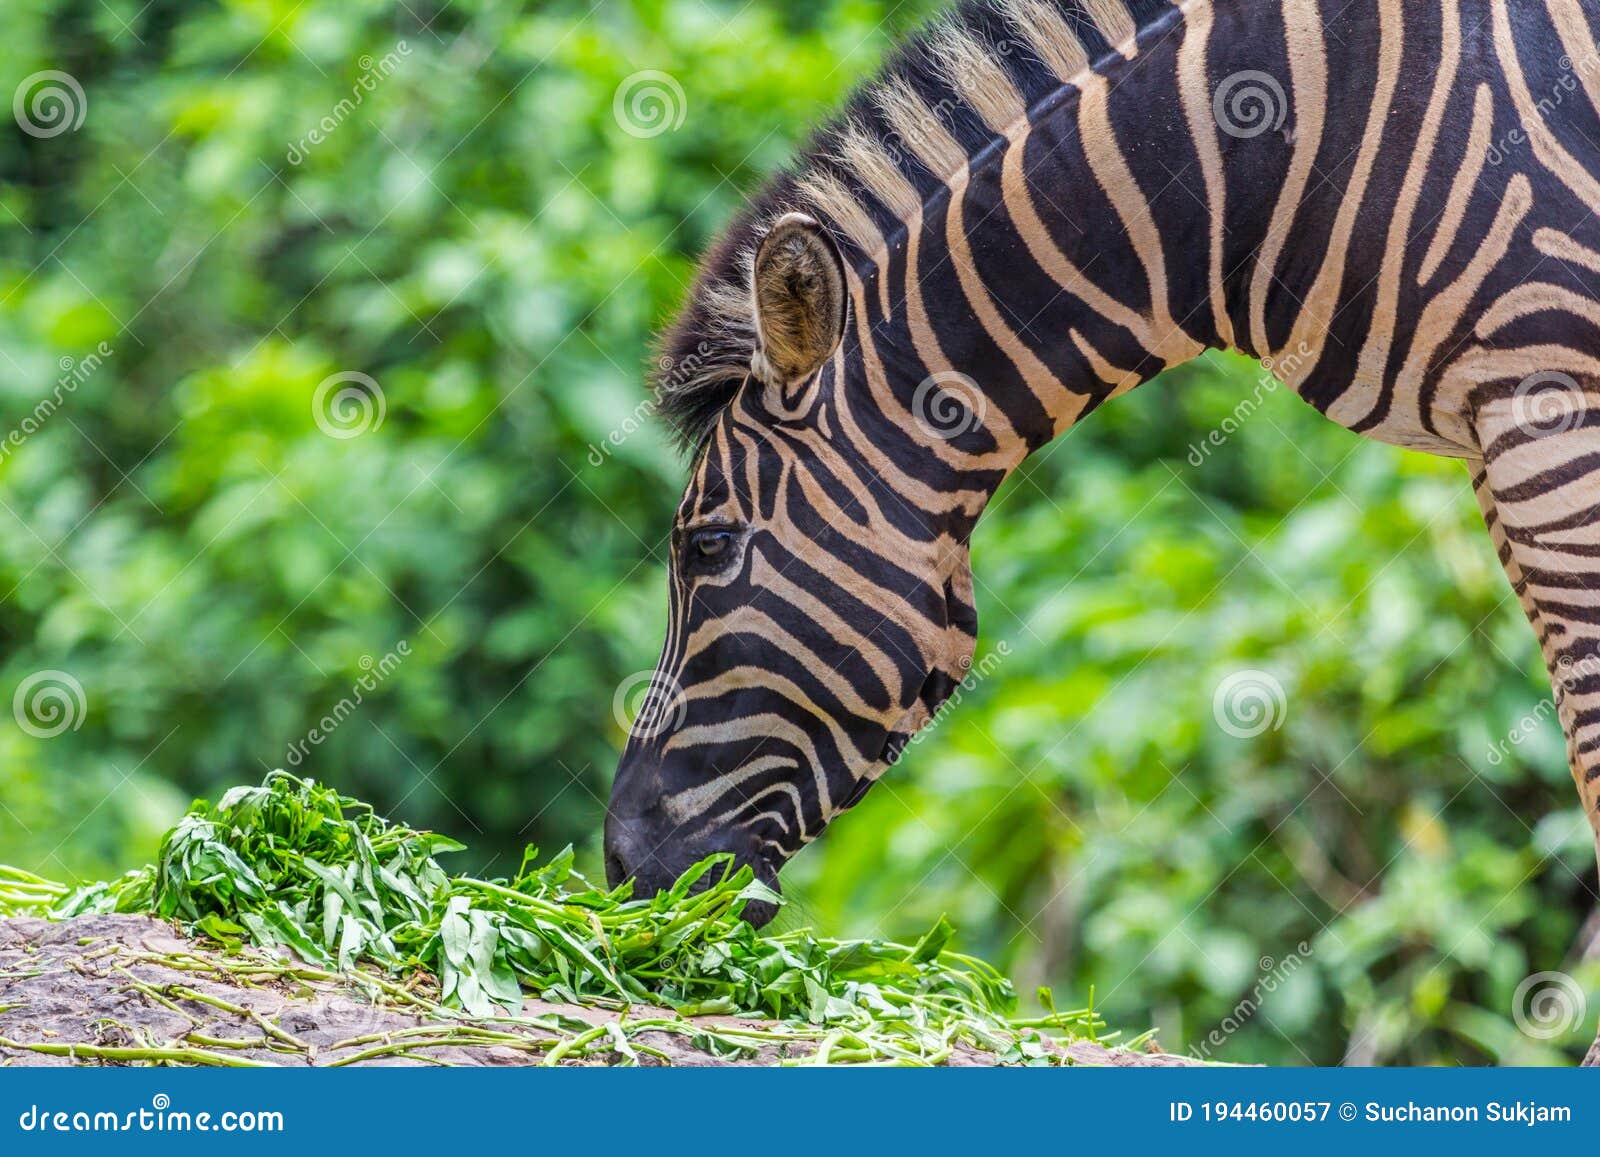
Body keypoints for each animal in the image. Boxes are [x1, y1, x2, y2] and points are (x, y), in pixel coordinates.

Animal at [602, 0, 1600, 1061]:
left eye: (707, 547)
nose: (622, 870)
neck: (1273, 164)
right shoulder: (1494, 436)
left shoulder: (1546, 402)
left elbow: (1588, 735)